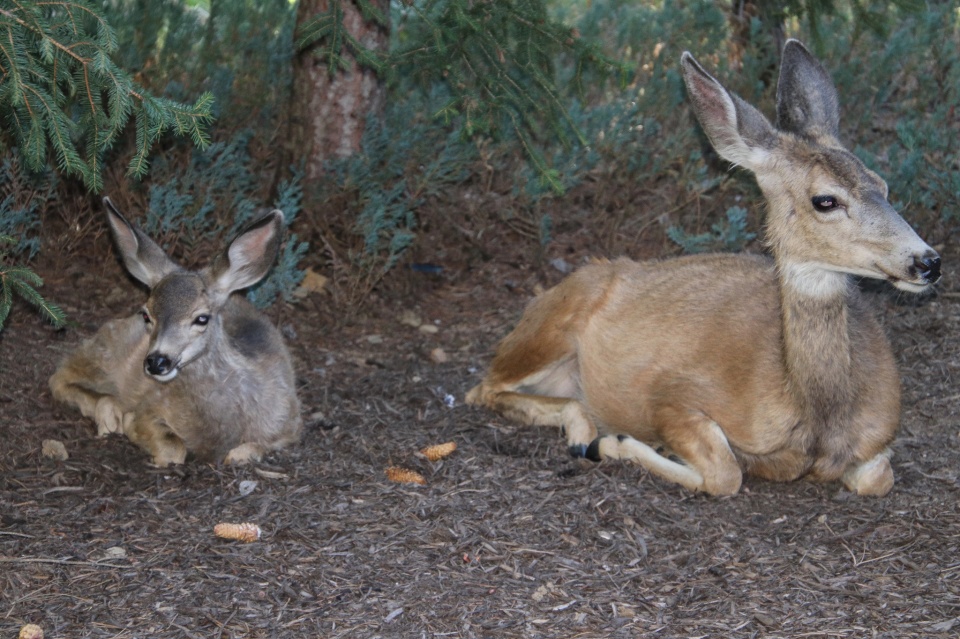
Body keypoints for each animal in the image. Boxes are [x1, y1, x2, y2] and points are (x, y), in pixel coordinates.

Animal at [49, 198, 303, 466]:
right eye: (147, 314)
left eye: (202, 318)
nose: (156, 361)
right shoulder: (150, 406)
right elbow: (173, 447)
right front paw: (133, 430)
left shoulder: (289, 426)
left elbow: (250, 451)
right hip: (107, 349)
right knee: (61, 375)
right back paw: (110, 414)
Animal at [466, 40, 941, 497]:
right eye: (825, 200)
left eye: (882, 185)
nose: (927, 261)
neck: (813, 421)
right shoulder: (670, 397)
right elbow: (726, 474)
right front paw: (616, 442)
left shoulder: (882, 432)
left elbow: (878, 479)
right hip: (548, 329)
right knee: (484, 387)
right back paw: (585, 434)